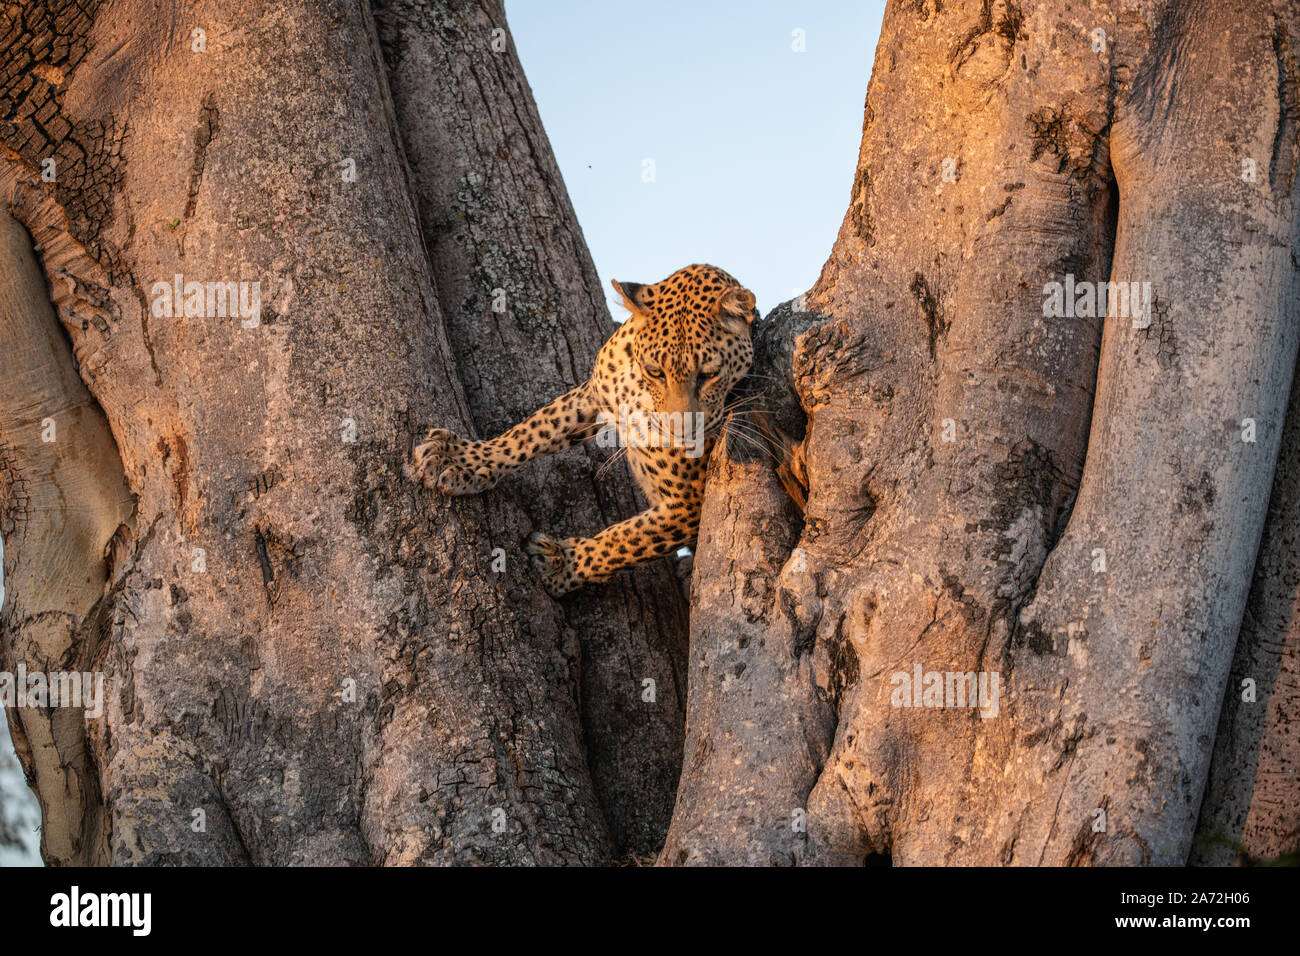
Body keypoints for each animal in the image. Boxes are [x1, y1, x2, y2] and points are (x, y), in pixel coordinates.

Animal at [408, 263, 757, 596]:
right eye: (655, 371)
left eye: (709, 374)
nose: (681, 433)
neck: (640, 395)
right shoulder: (594, 394)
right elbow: (535, 429)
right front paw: (461, 460)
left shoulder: (689, 503)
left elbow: (626, 540)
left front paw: (562, 564)